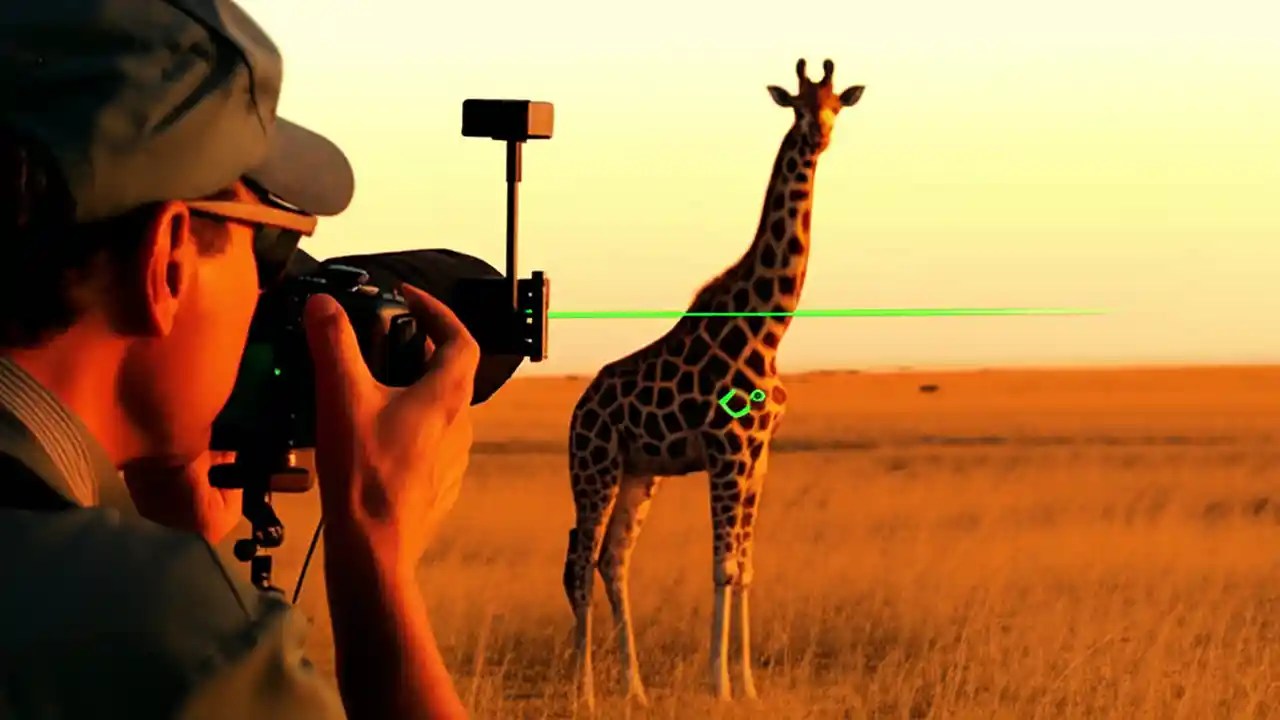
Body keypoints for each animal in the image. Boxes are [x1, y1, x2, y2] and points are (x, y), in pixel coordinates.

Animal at [561, 58, 864, 709]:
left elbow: (745, 566)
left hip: (638, 472)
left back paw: (634, 689)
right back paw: (585, 694)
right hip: (595, 466)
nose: (819, 136)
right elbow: (722, 566)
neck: (771, 328)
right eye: (798, 105)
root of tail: (579, 409)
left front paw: (747, 685)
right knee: (579, 560)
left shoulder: (759, 453)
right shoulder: (727, 447)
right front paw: (718, 684)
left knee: (612, 561)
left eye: (837, 105)